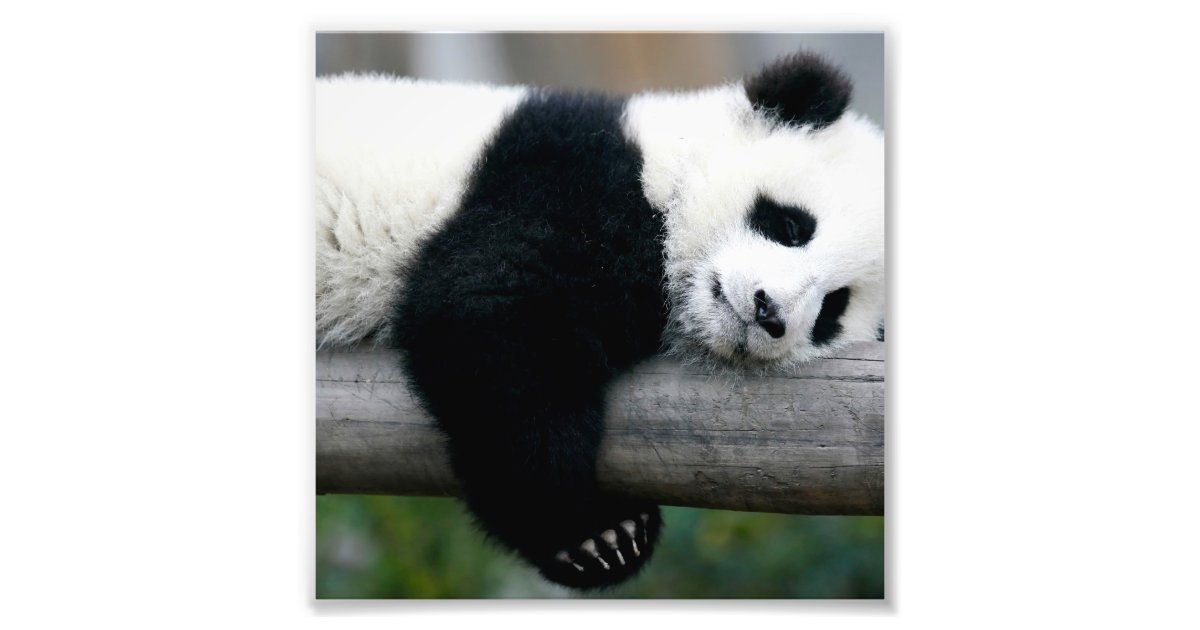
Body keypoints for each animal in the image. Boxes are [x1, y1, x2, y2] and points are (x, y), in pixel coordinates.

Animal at [315, 51, 884, 590]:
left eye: (833, 308)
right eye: (790, 225)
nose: (769, 313)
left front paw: (607, 541)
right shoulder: (564, 179)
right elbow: (487, 320)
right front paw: (595, 534)